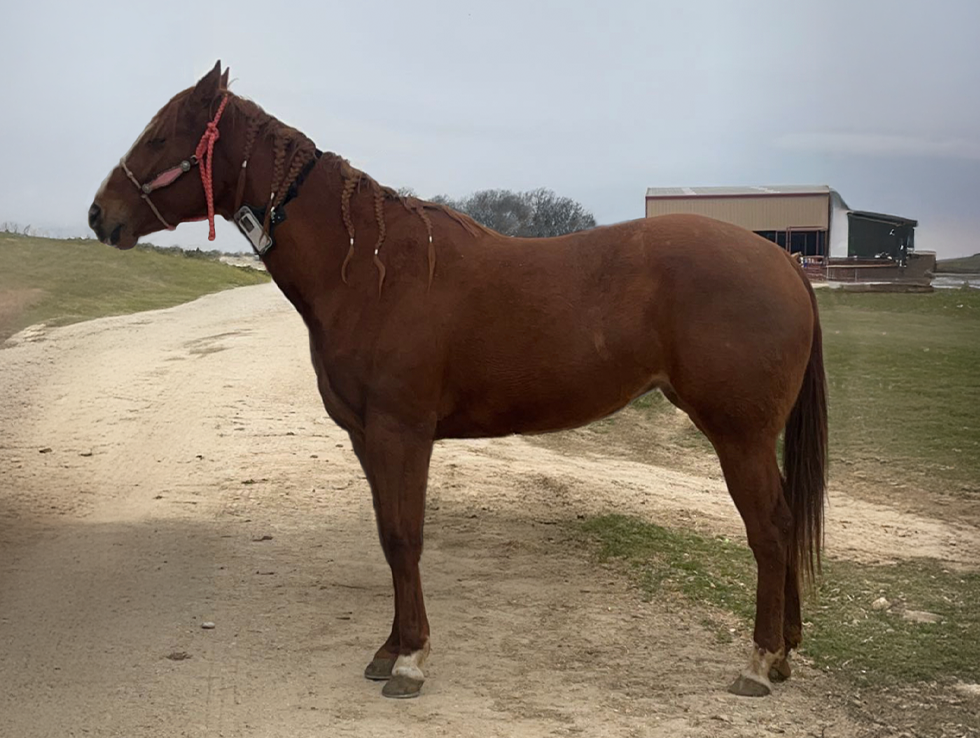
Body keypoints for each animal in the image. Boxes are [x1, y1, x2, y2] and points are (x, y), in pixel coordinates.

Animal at [89, 61, 828, 700]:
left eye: (160, 136)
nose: (100, 214)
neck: (370, 271)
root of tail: (783, 262)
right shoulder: (368, 437)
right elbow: (388, 535)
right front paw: (389, 649)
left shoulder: (403, 432)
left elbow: (406, 537)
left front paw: (411, 662)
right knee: (786, 523)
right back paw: (784, 654)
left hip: (738, 435)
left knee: (769, 530)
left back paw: (759, 663)